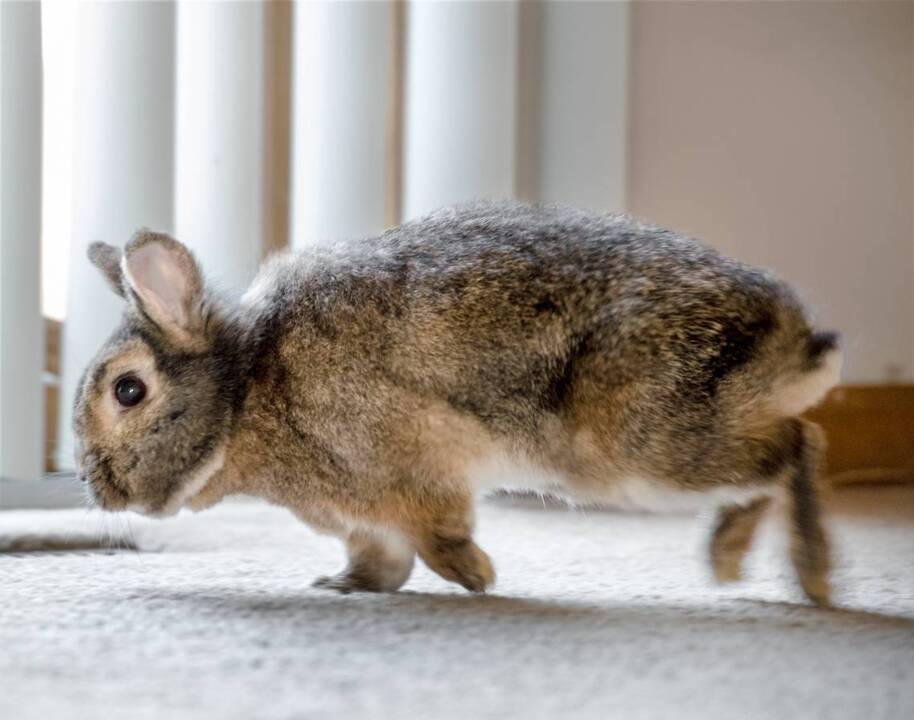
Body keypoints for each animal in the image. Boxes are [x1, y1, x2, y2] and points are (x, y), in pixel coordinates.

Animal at [73, 200, 841, 605]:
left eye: (128, 390)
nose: (95, 487)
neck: (248, 389)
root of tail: (794, 341)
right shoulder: (362, 515)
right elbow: (383, 559)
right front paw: (342, 586)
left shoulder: (415, 468)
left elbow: (437, 537)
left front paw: (478, 578)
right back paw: (732, 558)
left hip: (646, 447)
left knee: (797, 447)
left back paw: (805, 574)